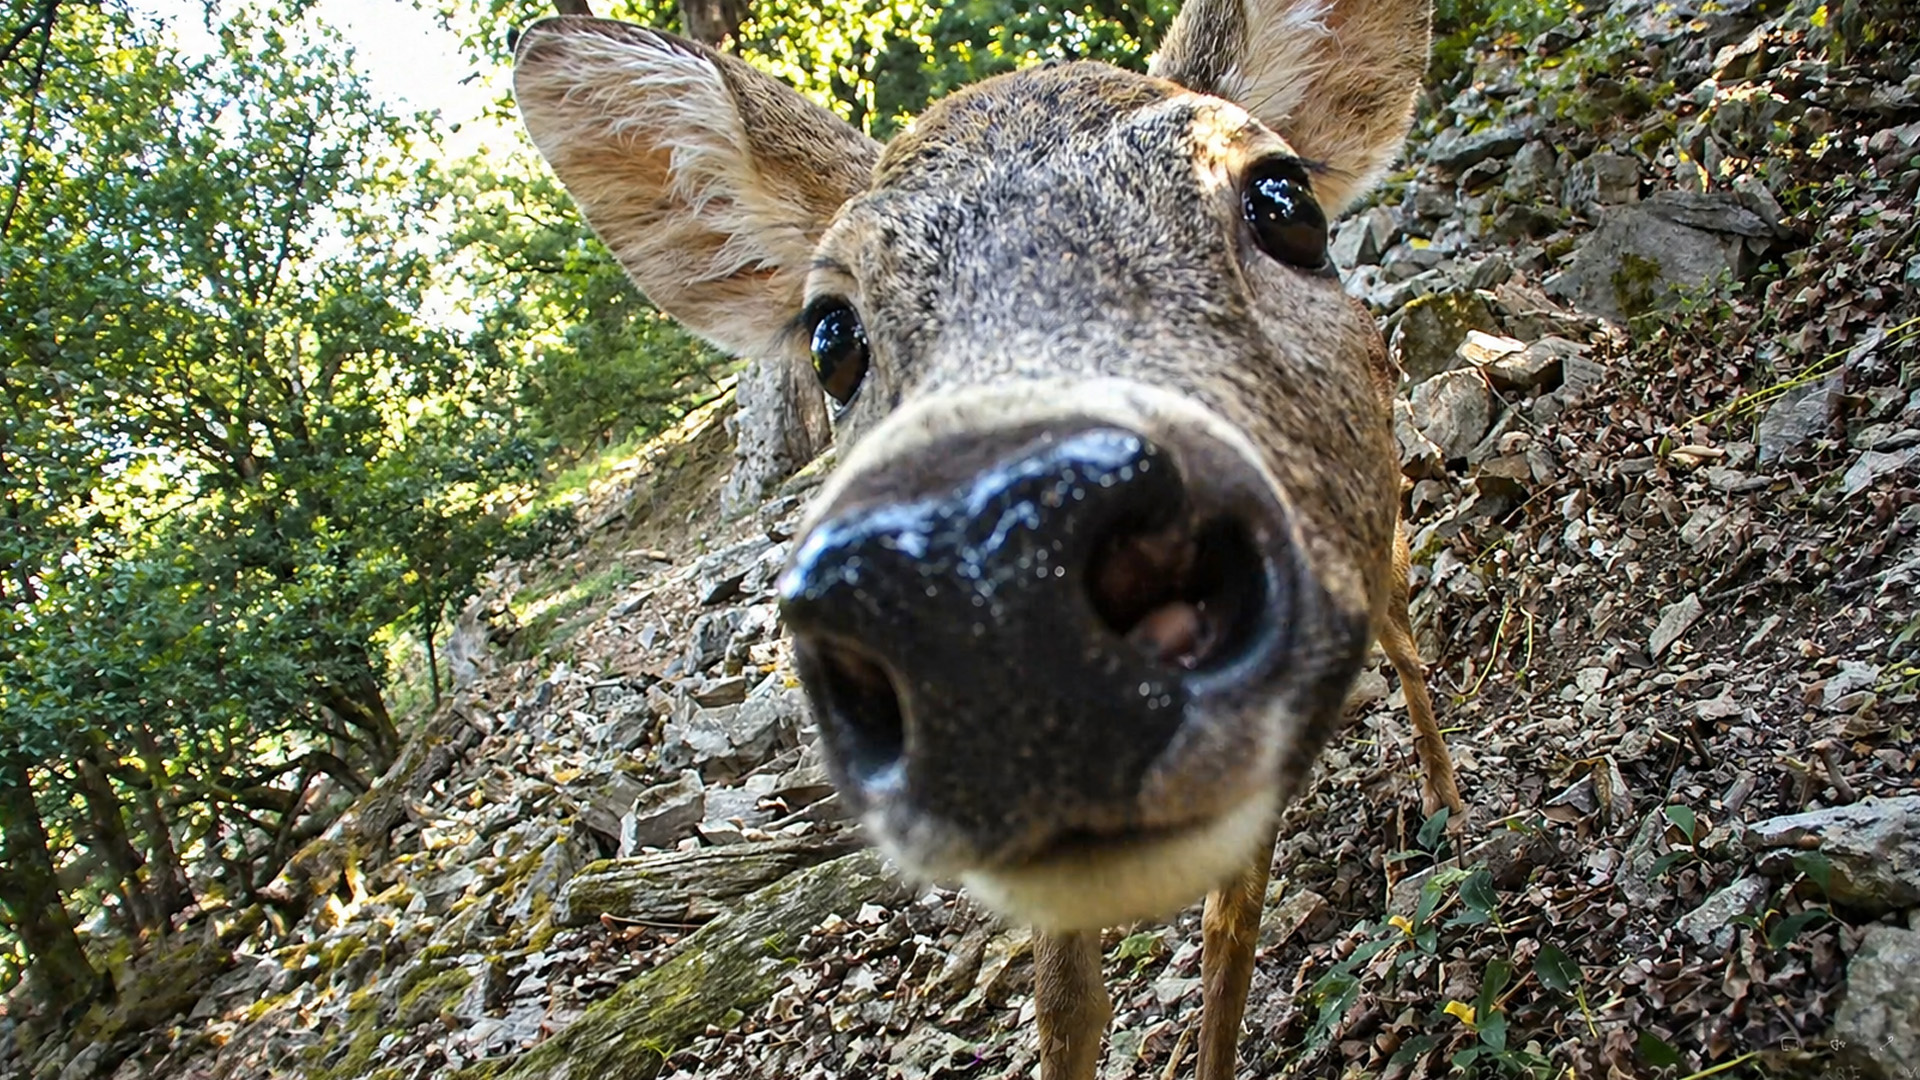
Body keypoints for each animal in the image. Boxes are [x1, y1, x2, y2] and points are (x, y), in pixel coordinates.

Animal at [513, 2, 1467, 1075]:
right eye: (830, 336)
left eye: (1286, 199)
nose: (991, 586)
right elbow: (1066, 1003)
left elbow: (1230, 940)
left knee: (1409, 643)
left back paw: (1449, 803)